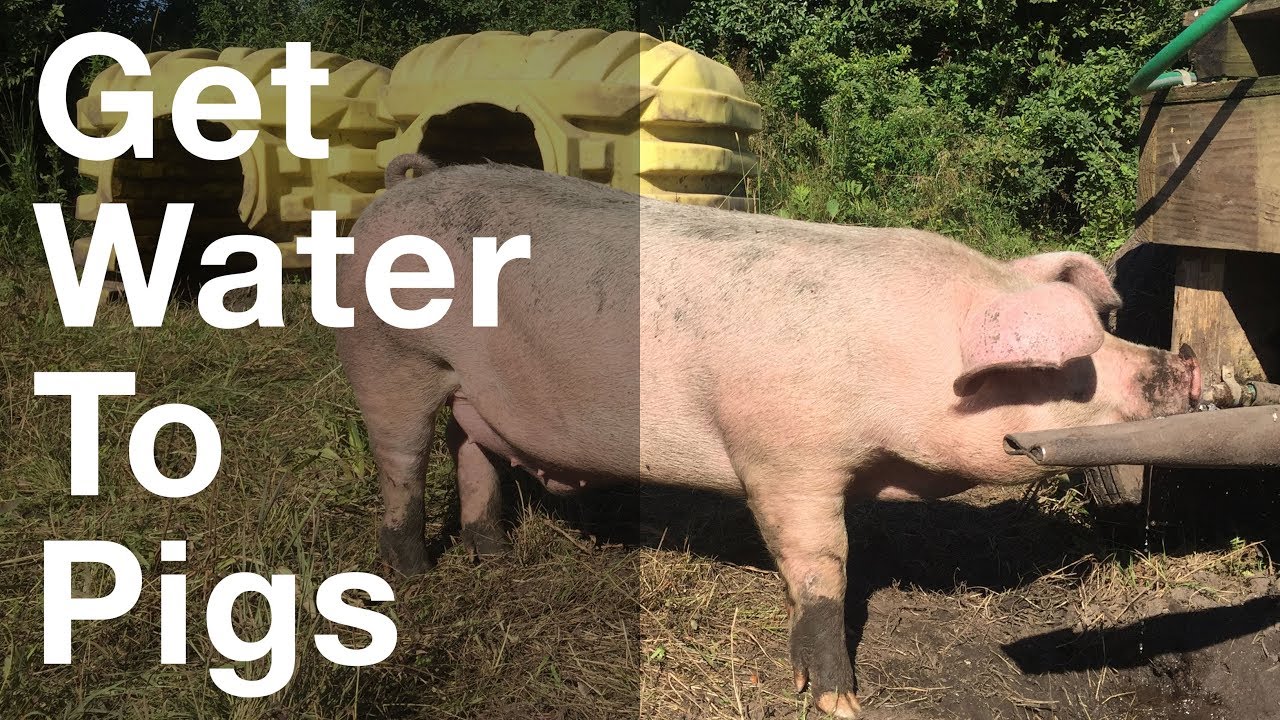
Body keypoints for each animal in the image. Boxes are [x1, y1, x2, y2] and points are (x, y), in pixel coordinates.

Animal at [335, 155, 1201, 718]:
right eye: (1074, 367)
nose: (1185, 364)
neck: (903, 363)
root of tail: (390, 197)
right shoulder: (784, 456)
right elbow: (821, 566)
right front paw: (840, 701)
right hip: (389, 356)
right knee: (402, 461)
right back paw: (413, 574)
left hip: (469, 389)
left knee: (471, 453)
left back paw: (494, 557)